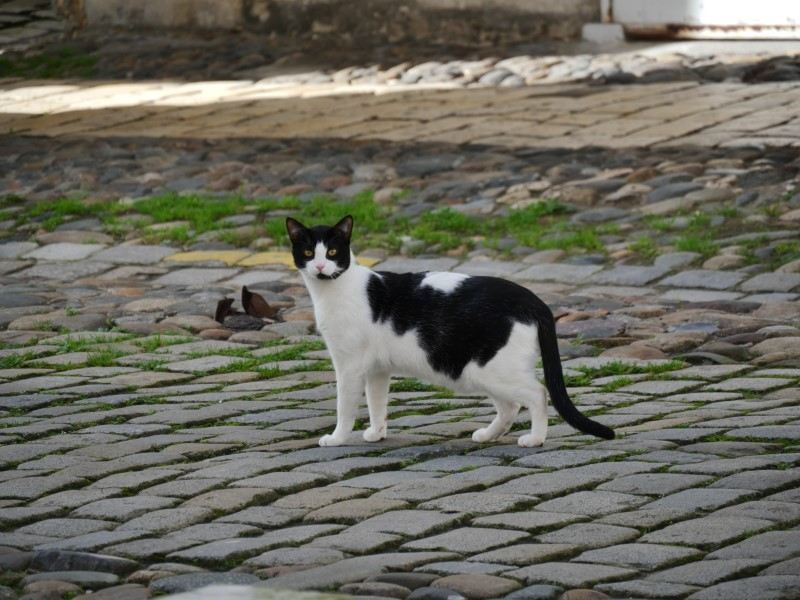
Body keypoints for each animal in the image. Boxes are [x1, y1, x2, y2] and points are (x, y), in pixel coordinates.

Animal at [286, 214, 612, 446]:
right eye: (308, 251)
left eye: (332, 252)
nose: (319, 267)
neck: (334, 289)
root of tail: (534, 300)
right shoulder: (378, 369)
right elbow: (377, 402)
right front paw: (377, 433)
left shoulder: (348, 365)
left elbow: (344, 405)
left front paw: (337, 438)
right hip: (482, 371)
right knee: (510, 407)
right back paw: (488, 435)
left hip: (492, 368)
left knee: (537, 394)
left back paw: (535, 439)